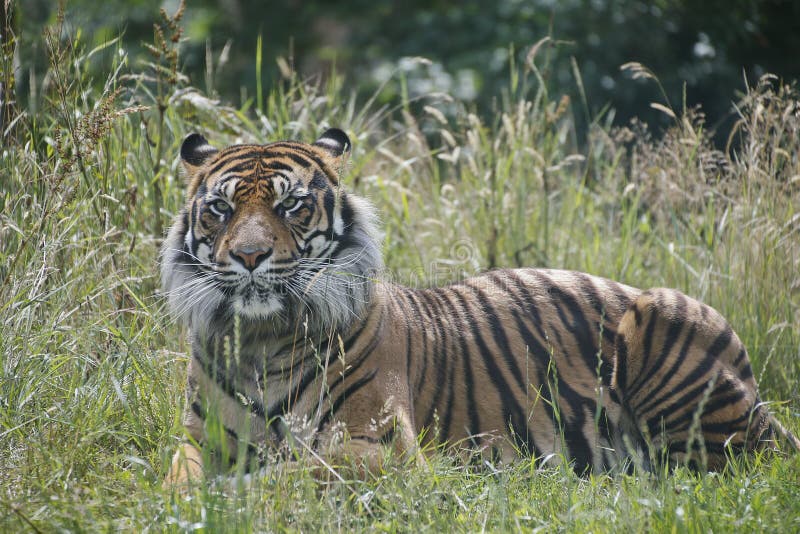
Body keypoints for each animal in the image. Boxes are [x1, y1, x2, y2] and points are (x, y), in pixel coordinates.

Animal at [160, 128, 798, 485]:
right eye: (220, 209)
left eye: (290, 205)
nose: (249, 256)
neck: (261, 337)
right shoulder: (199, 440)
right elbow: (181, 482)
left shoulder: (376, 445)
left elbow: (288, 474)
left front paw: (244, 495)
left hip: (662, 316)